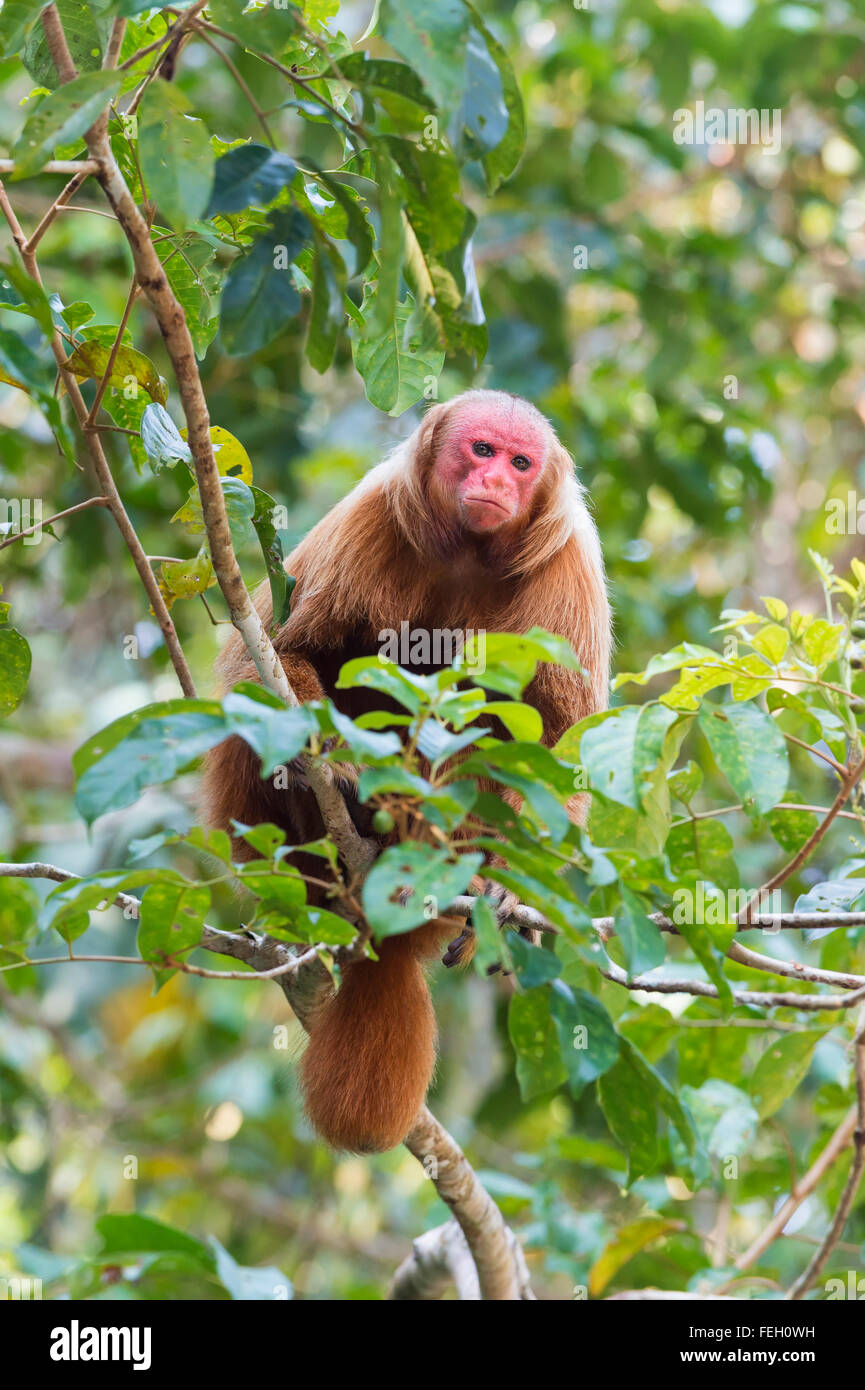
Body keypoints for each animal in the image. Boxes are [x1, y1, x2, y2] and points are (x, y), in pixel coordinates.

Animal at [201, 390, 611, 1153]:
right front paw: (330, 755)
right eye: (482, 451)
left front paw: (502, 884)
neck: (473, 553)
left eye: (520, 463)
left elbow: (557, 744)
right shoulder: (371, 517)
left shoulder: (570, 567)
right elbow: (267, 655)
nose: (496, 482)